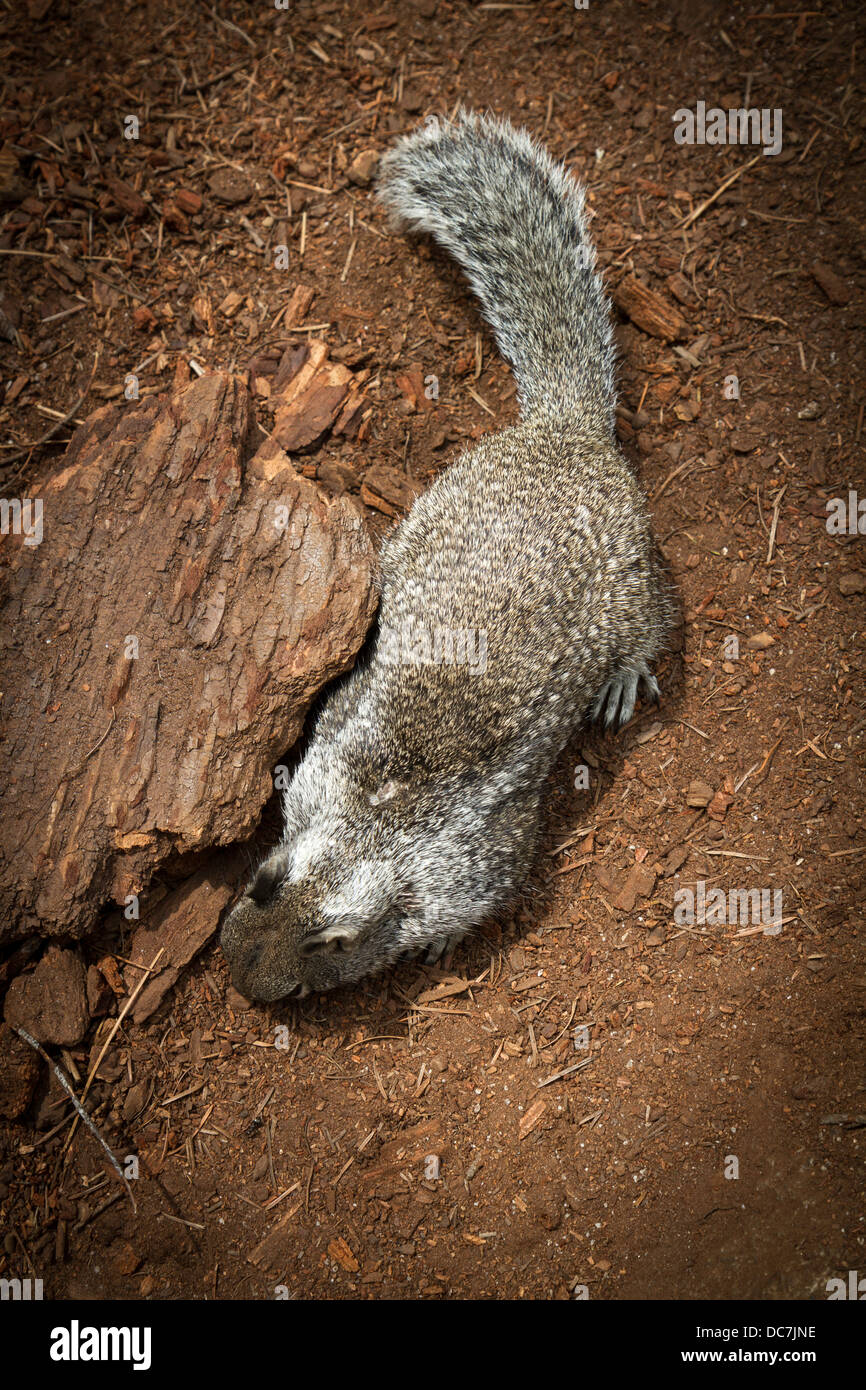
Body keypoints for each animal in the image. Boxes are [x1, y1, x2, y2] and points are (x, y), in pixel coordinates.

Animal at [221, 110, 675, 1002]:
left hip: (635, 573)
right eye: (258, 886)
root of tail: (568, 427)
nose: (240, 980)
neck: (372, 835)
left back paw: (624, 678)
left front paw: (437, 947)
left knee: (649, 628)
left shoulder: (478, 866)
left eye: (322, 958)